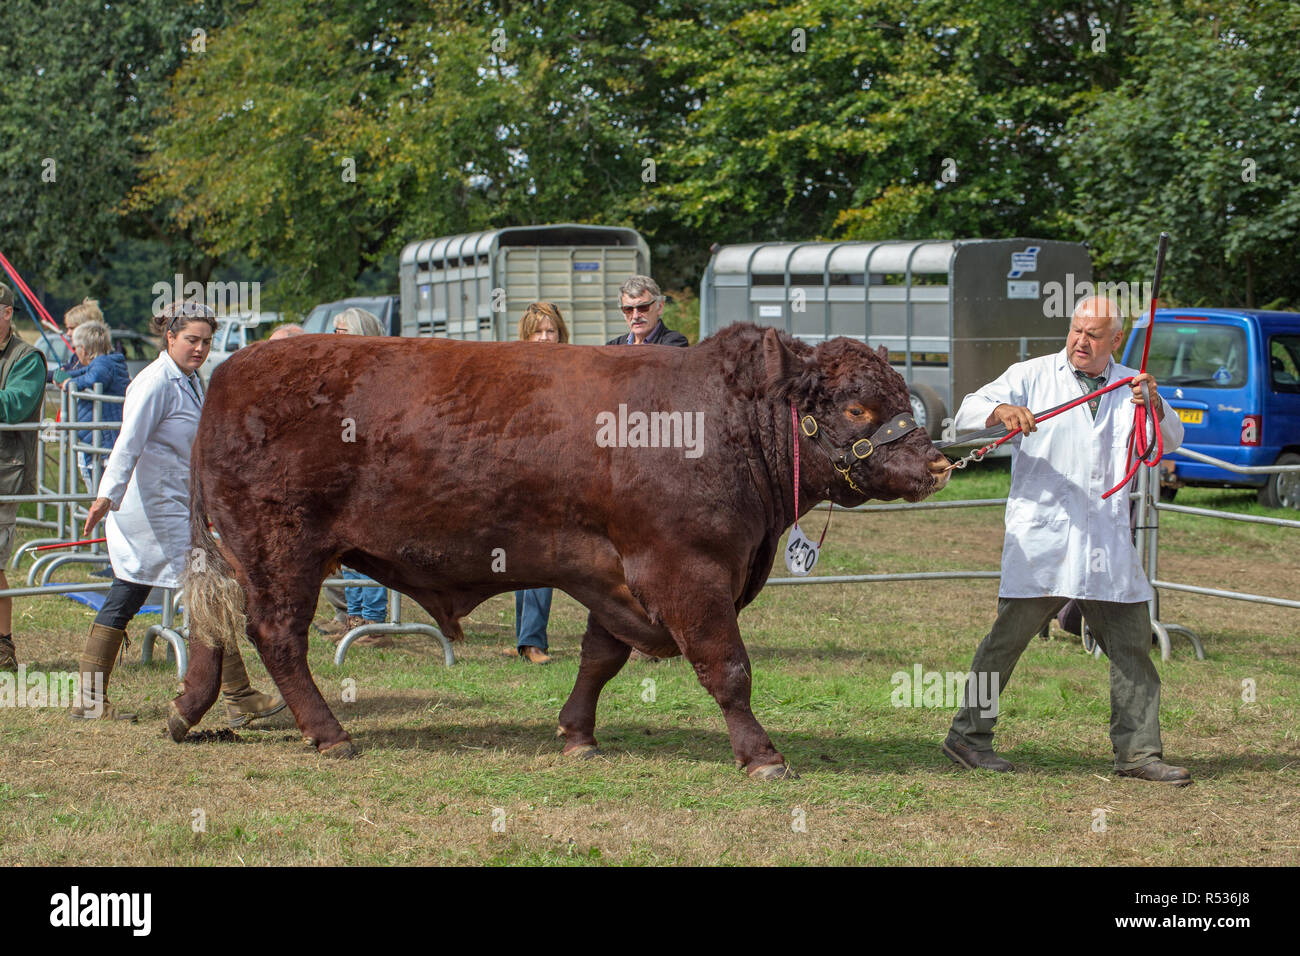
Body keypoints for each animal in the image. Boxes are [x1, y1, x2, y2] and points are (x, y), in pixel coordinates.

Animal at [170, 323, 951, 779]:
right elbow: (728, 668)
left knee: (214, 628)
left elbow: (600, 658)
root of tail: (234, 370)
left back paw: (187, 710)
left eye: (898, 393)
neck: (721, 420)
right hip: (281, 550)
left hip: (243, 556)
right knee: (276, 636)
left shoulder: (615, 572)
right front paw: (762, 755)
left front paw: (577, 734)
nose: (938, 463)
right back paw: (328, 733)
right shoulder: (687, 571)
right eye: (857, 407)